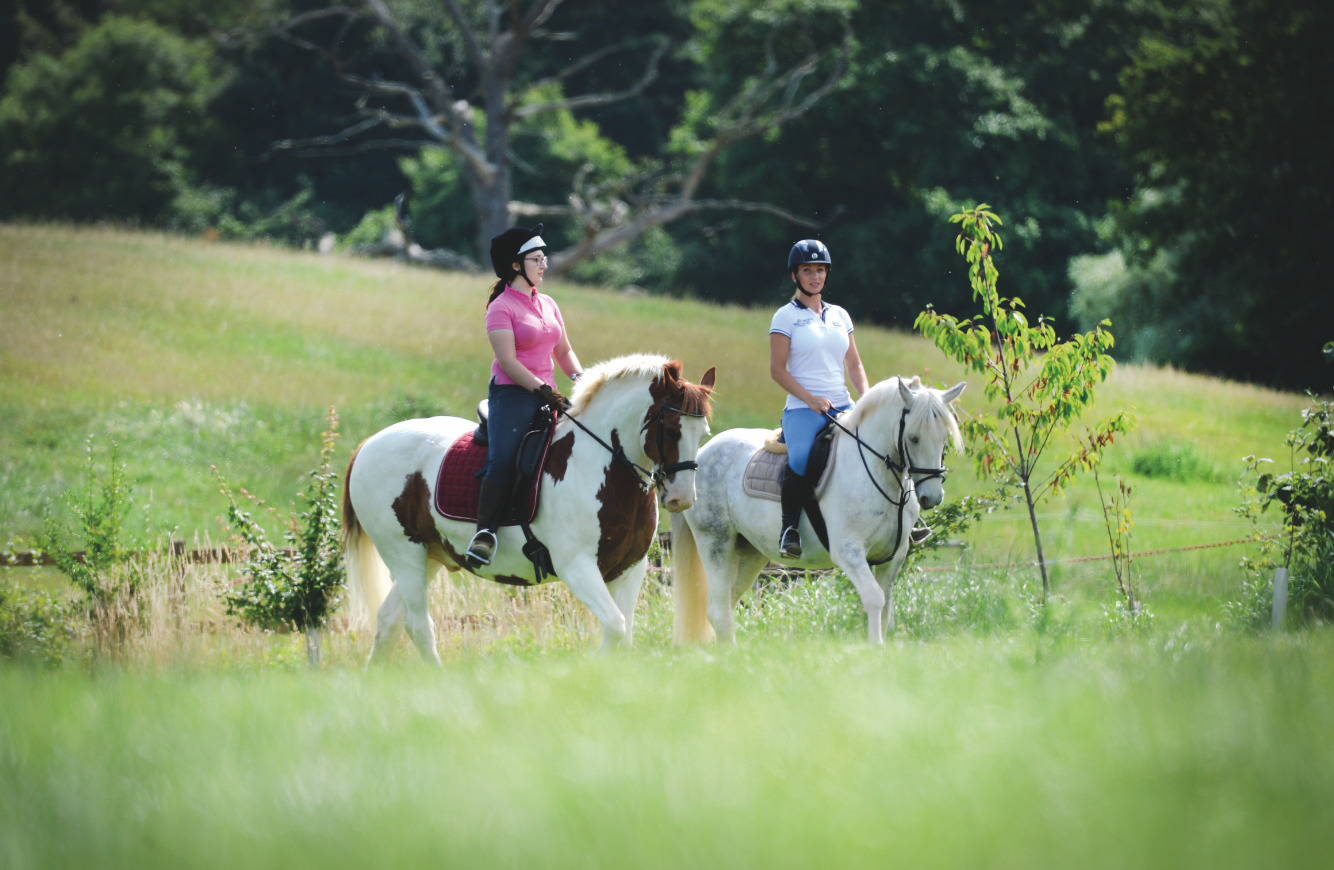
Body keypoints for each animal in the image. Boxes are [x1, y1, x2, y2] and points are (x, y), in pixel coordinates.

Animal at [342, 354, 715, 664]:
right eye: (671, 430)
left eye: (703, 432)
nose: (681, 498)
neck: (603, 465)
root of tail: (367, 444)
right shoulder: (576, 567)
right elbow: (615, 627)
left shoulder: (629, 570)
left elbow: (623, 635)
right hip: (405, 554)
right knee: (418, 625)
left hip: (430, 555)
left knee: (389, 621)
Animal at [671, 376, 965, 646]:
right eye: (913, 438)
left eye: (944, 438)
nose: (932, 497)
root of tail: (702, 453)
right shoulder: (849, 552)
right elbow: (874, 597)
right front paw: (875, 649)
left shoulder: (894, 555)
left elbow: (886, 604)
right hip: (715, 542)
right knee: (718, 608)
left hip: (750, 551)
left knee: (728, 602)